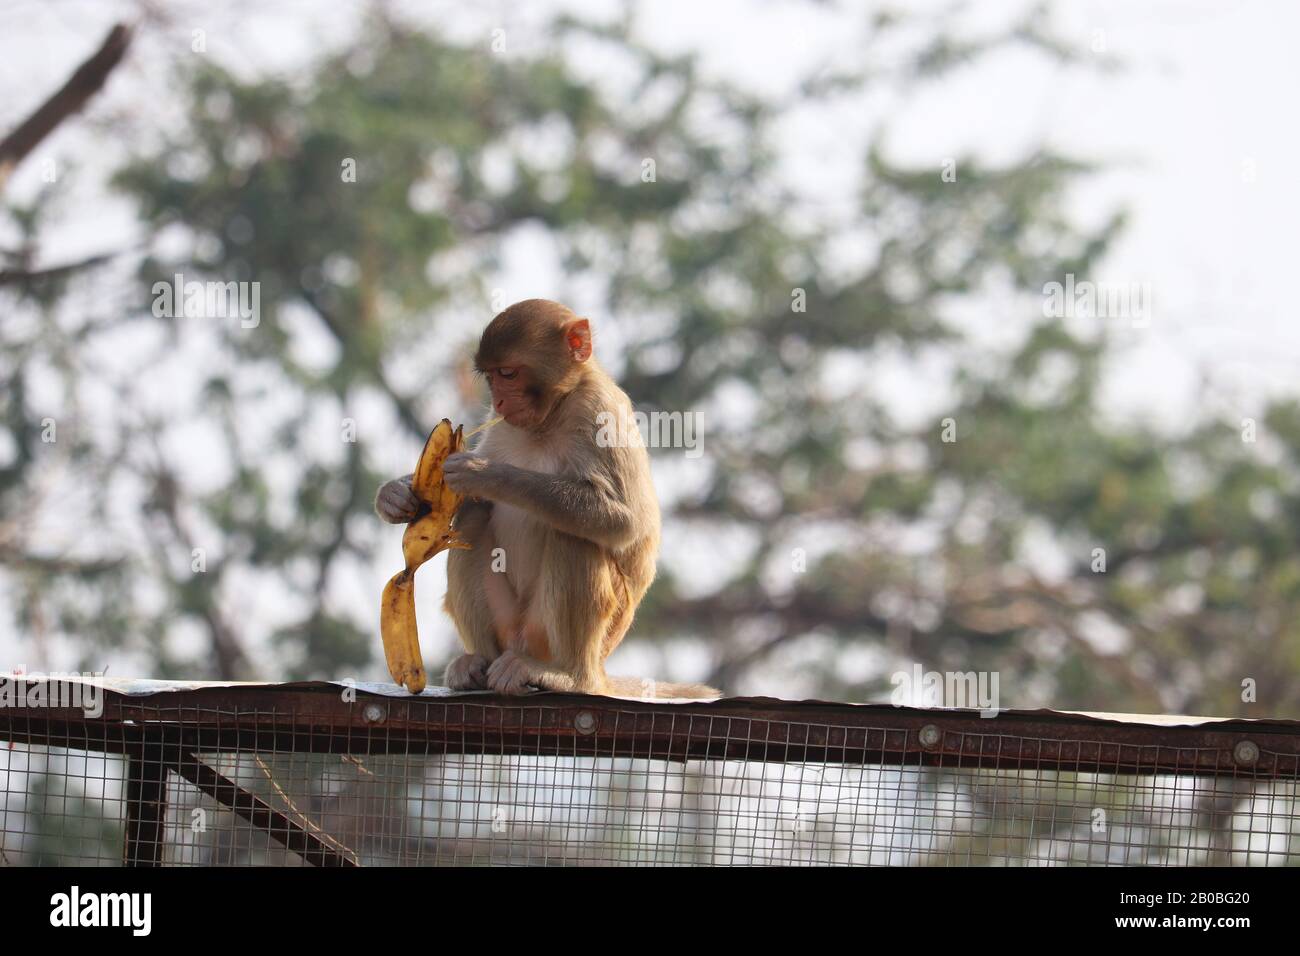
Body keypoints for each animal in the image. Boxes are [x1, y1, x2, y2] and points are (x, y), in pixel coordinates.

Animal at [374, 299, 720, 699]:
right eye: (491, 377)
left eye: (508, 373)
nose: (499, 401)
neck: (552, 414)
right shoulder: (502, 425)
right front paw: (396, 495)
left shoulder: (599, 410)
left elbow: (623, 521)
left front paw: (484, 473)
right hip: (510, 626)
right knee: (475, 518)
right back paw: (476, 664)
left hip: (567, 632)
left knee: (576, 534)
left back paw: (567, 675)